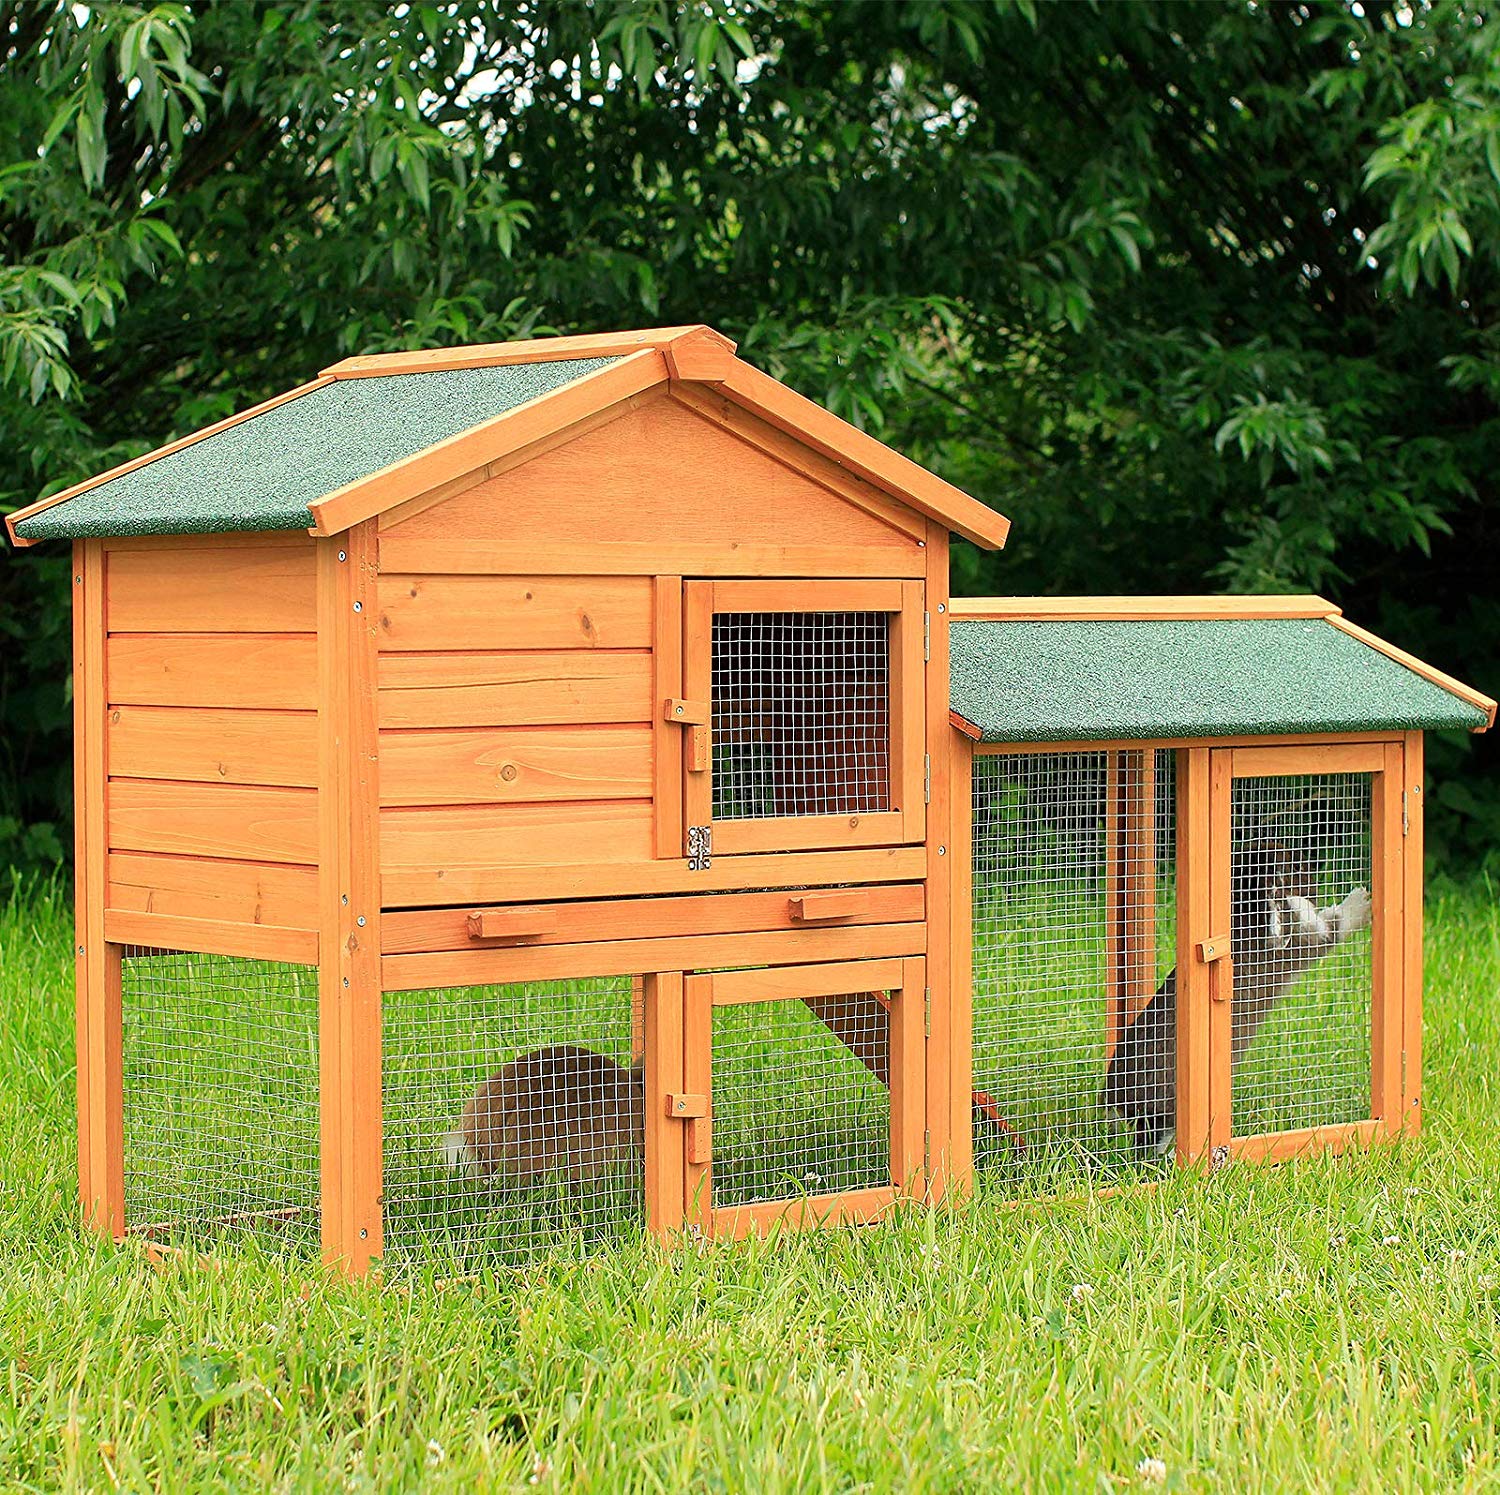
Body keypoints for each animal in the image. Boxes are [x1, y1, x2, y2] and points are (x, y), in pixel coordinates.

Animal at [1102, 841, 1373, 1160]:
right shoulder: (1311, 937)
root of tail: (1117, 1102)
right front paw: (1363, 900)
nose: (1315, 872)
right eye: (1292, 866)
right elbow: (1337, 924)